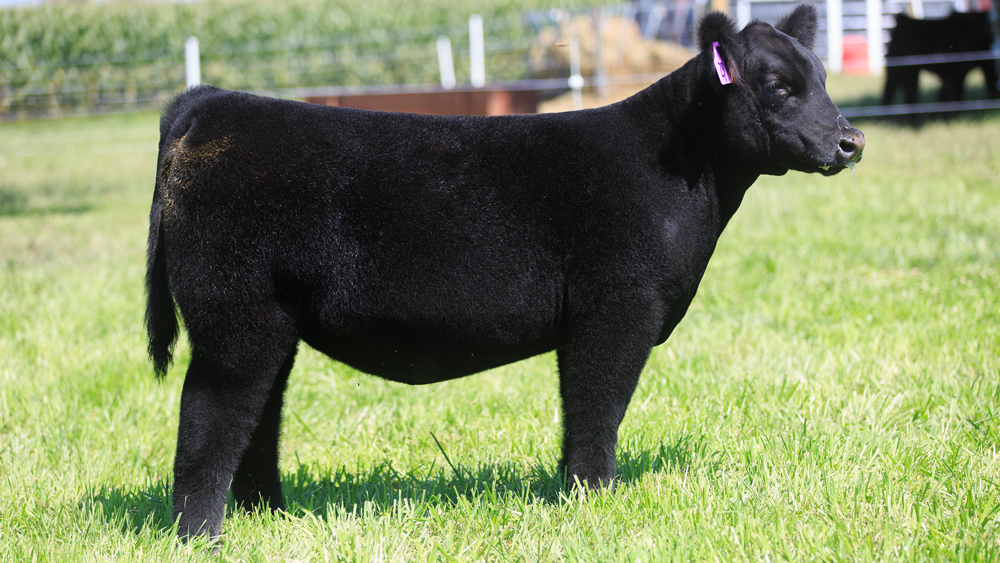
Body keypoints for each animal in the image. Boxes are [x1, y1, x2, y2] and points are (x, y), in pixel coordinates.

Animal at [147, 5, 863, 540]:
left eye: (824, 79)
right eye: (777, 87)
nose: (851, 140)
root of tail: (214, 103)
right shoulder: (618, 309)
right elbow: (596, 406)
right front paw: (591, 500)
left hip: (271, 324)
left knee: (259, 418)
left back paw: (271, 516)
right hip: (236, 320)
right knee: (210, 416)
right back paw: (201, 534)